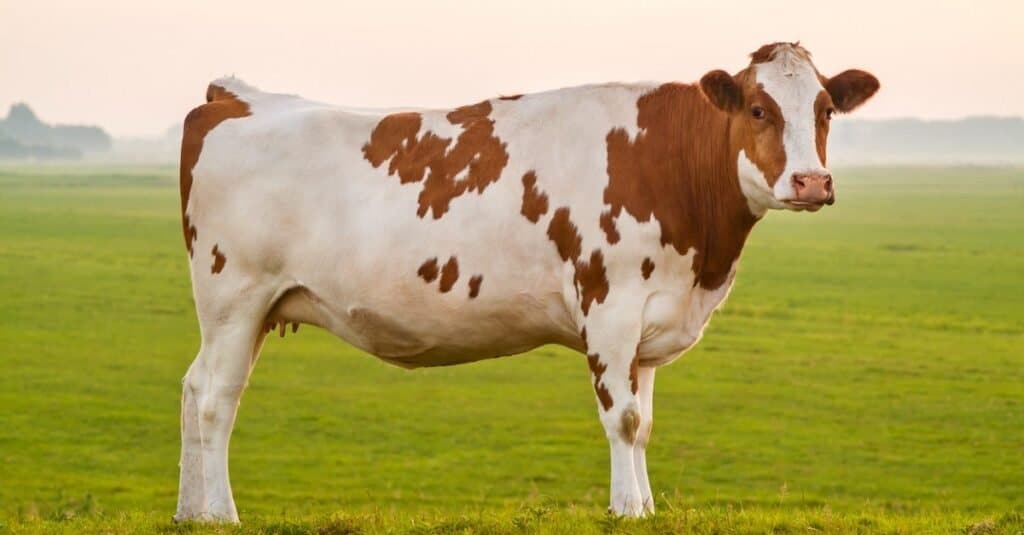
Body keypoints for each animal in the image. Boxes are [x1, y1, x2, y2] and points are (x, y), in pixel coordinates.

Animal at [174, 42, 878, 522]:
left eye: (825, 110)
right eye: (759, 109)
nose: (812, 182)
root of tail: (237, 96)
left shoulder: (652, 320)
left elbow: (646, 422)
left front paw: (647, 508)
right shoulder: (610, 308)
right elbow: (623, 418)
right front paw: (626, 510)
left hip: (249, 310)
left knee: (192, 388)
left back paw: (190, 513)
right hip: (234, 298)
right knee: (215, 399)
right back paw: (222, 515)